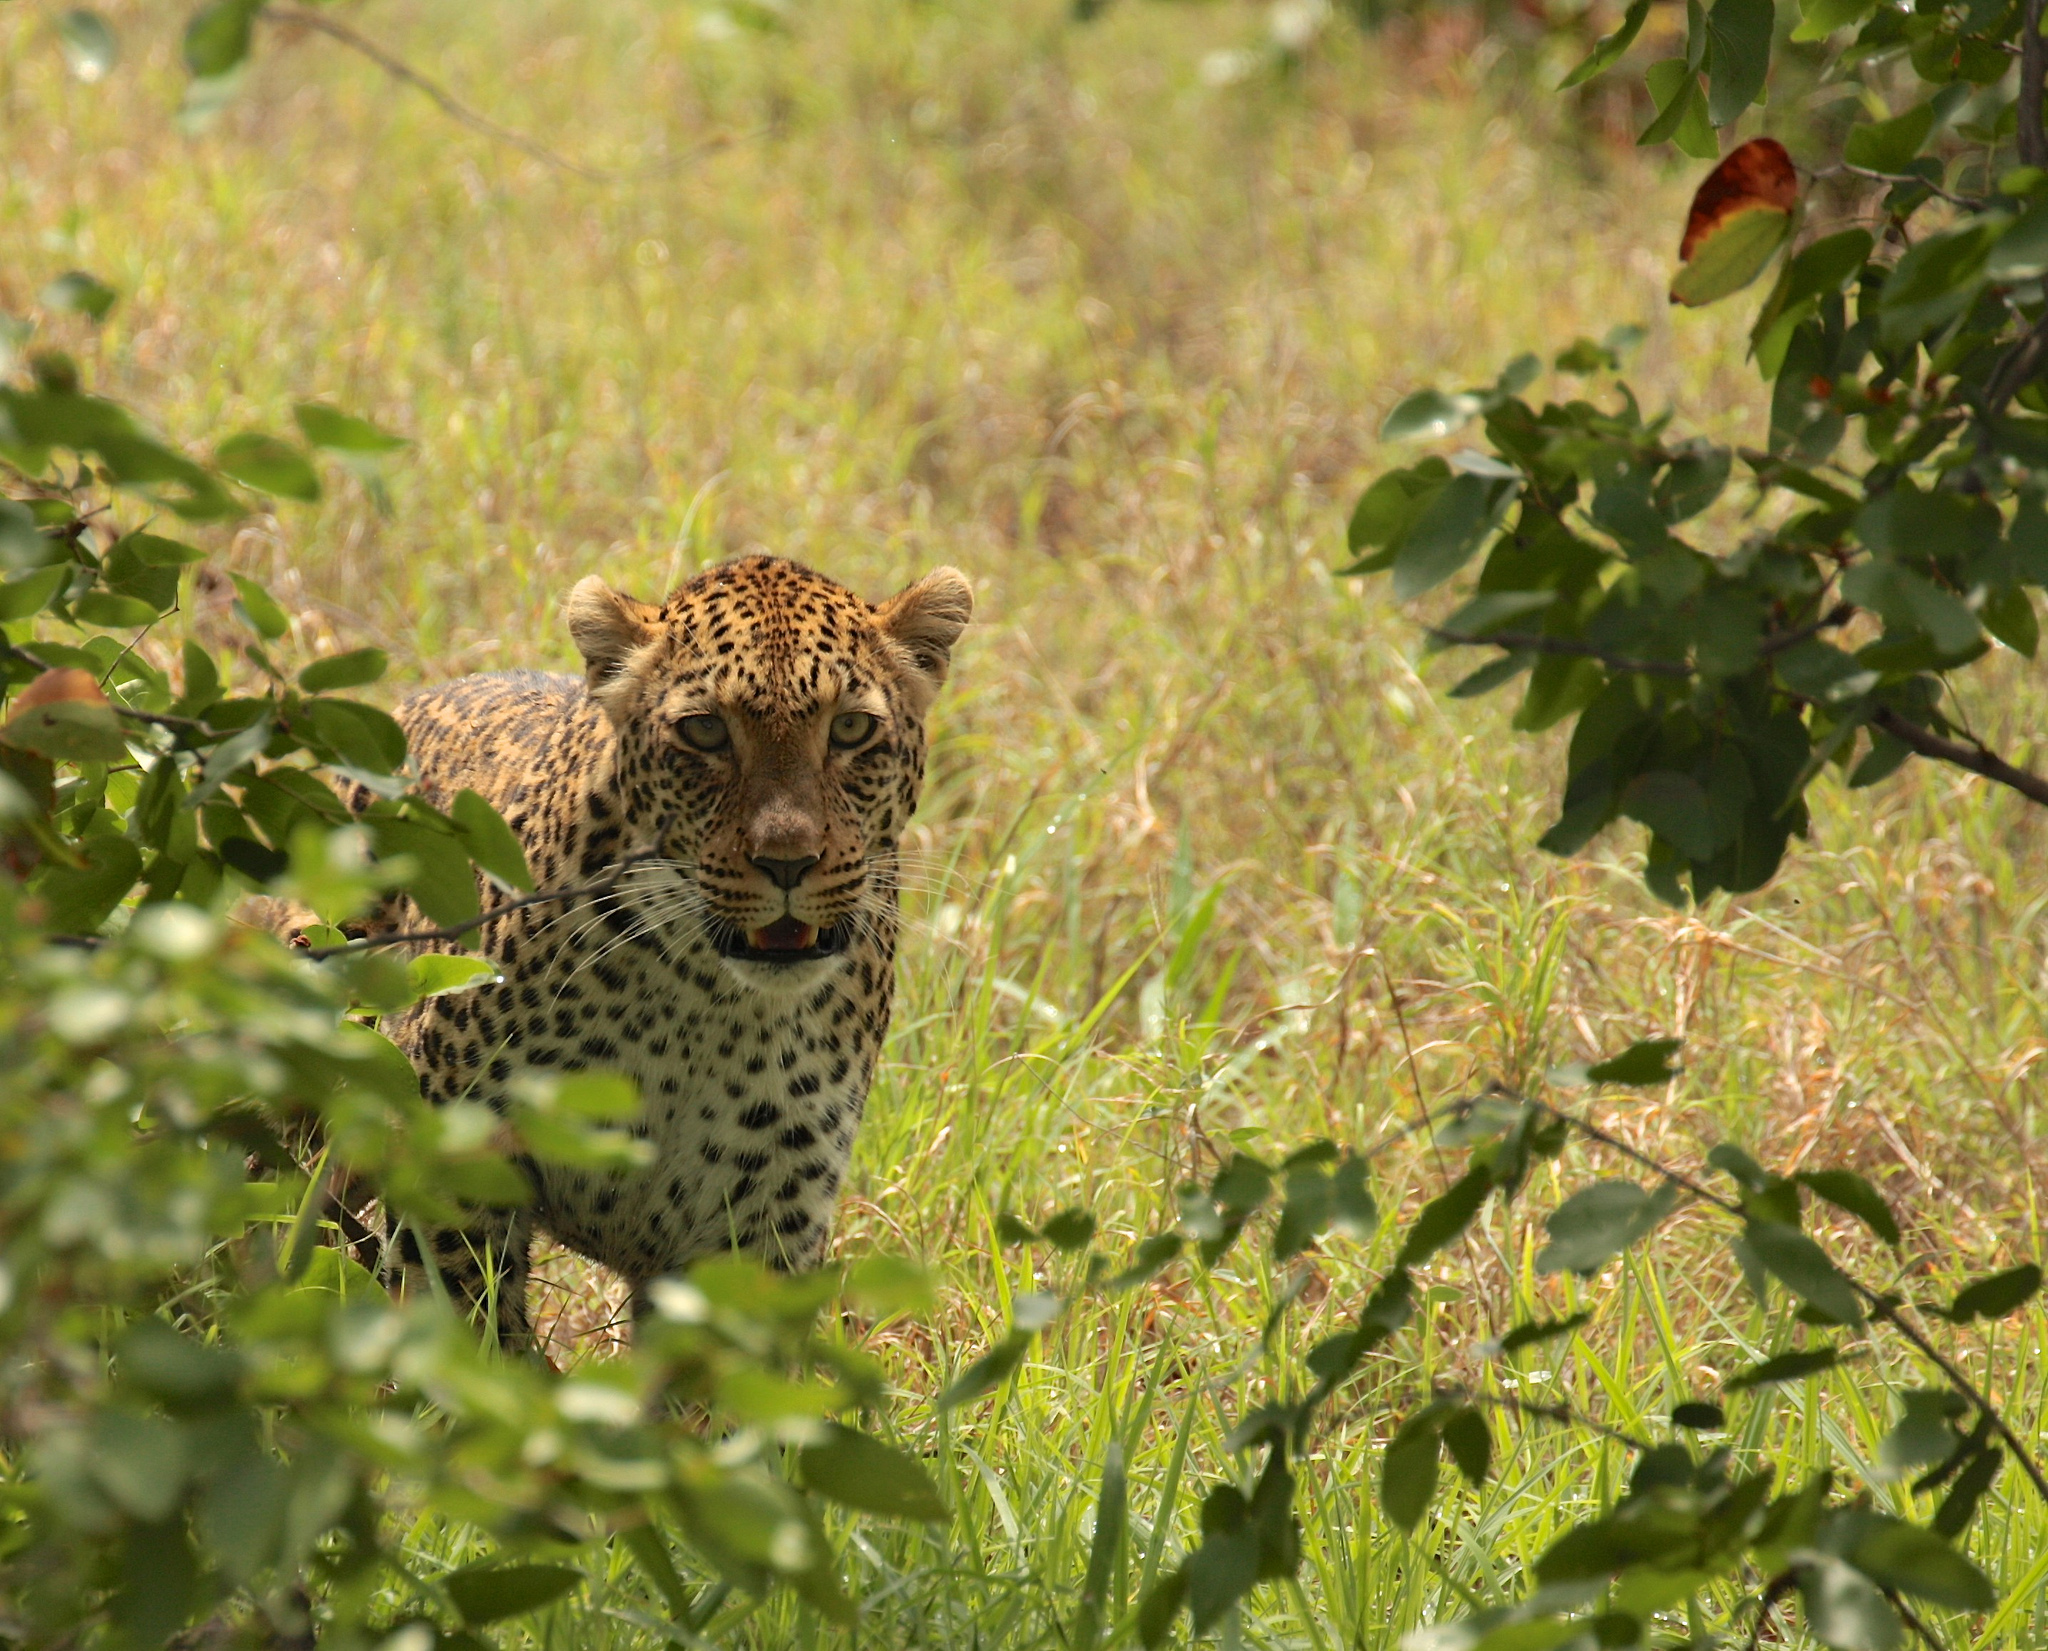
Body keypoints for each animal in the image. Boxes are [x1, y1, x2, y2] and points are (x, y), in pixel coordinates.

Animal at [359, 553, 972, 1350]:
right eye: (705, 731)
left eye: (852, 728)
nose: (787, 862)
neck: (703, 1008)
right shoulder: (456, 1162)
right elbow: (470, 1336)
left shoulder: (764, 1225)